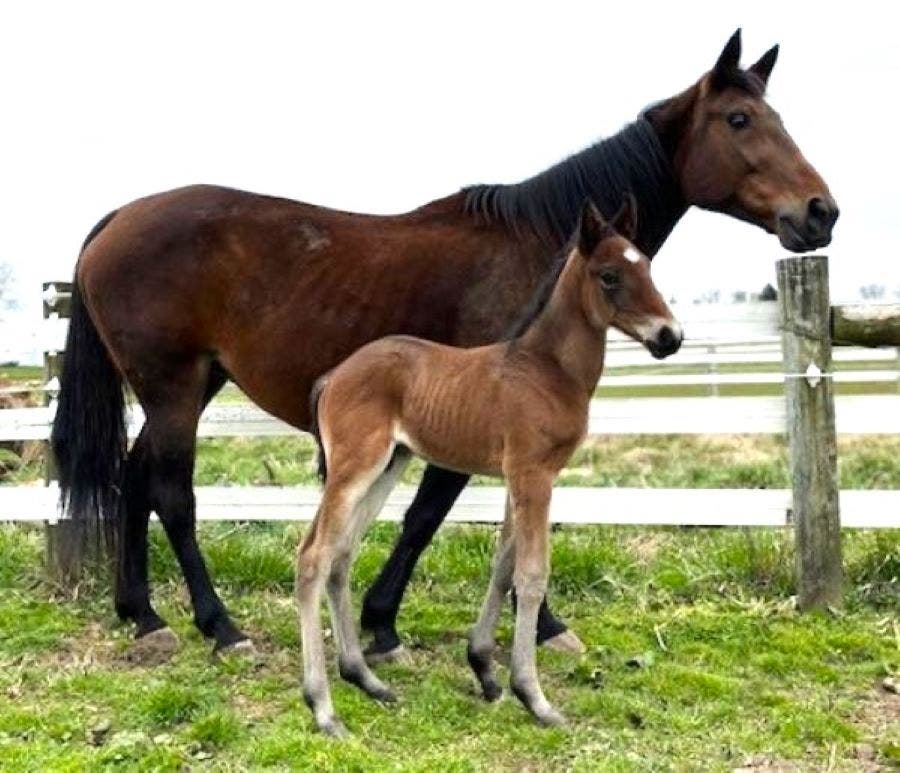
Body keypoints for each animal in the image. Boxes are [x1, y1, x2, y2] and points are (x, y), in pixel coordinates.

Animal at [51, 29, 838, 661]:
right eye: (739, 119)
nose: (820, 212)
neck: (541, 249)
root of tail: (119, 218)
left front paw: (534, 625)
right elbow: (430, 514)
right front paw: (388, 624)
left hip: (190, 385)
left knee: (134, 477)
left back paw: (144, 615)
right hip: (175, 387)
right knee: (172, 492)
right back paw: (221, 627)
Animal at [298, 196, 680, 736]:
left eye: (646, 265)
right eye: (608, 276)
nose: (670, 336)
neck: (547, 369)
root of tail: (334, 375)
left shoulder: (521, 478)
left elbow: (503, 567)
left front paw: (485, 671)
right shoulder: (532, 476)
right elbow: (533, 575)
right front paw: (535, 698)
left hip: (388, 466)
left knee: (341, 554)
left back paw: (367, 681)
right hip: (356, 466)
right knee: (313, 557)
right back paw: (324, 708)